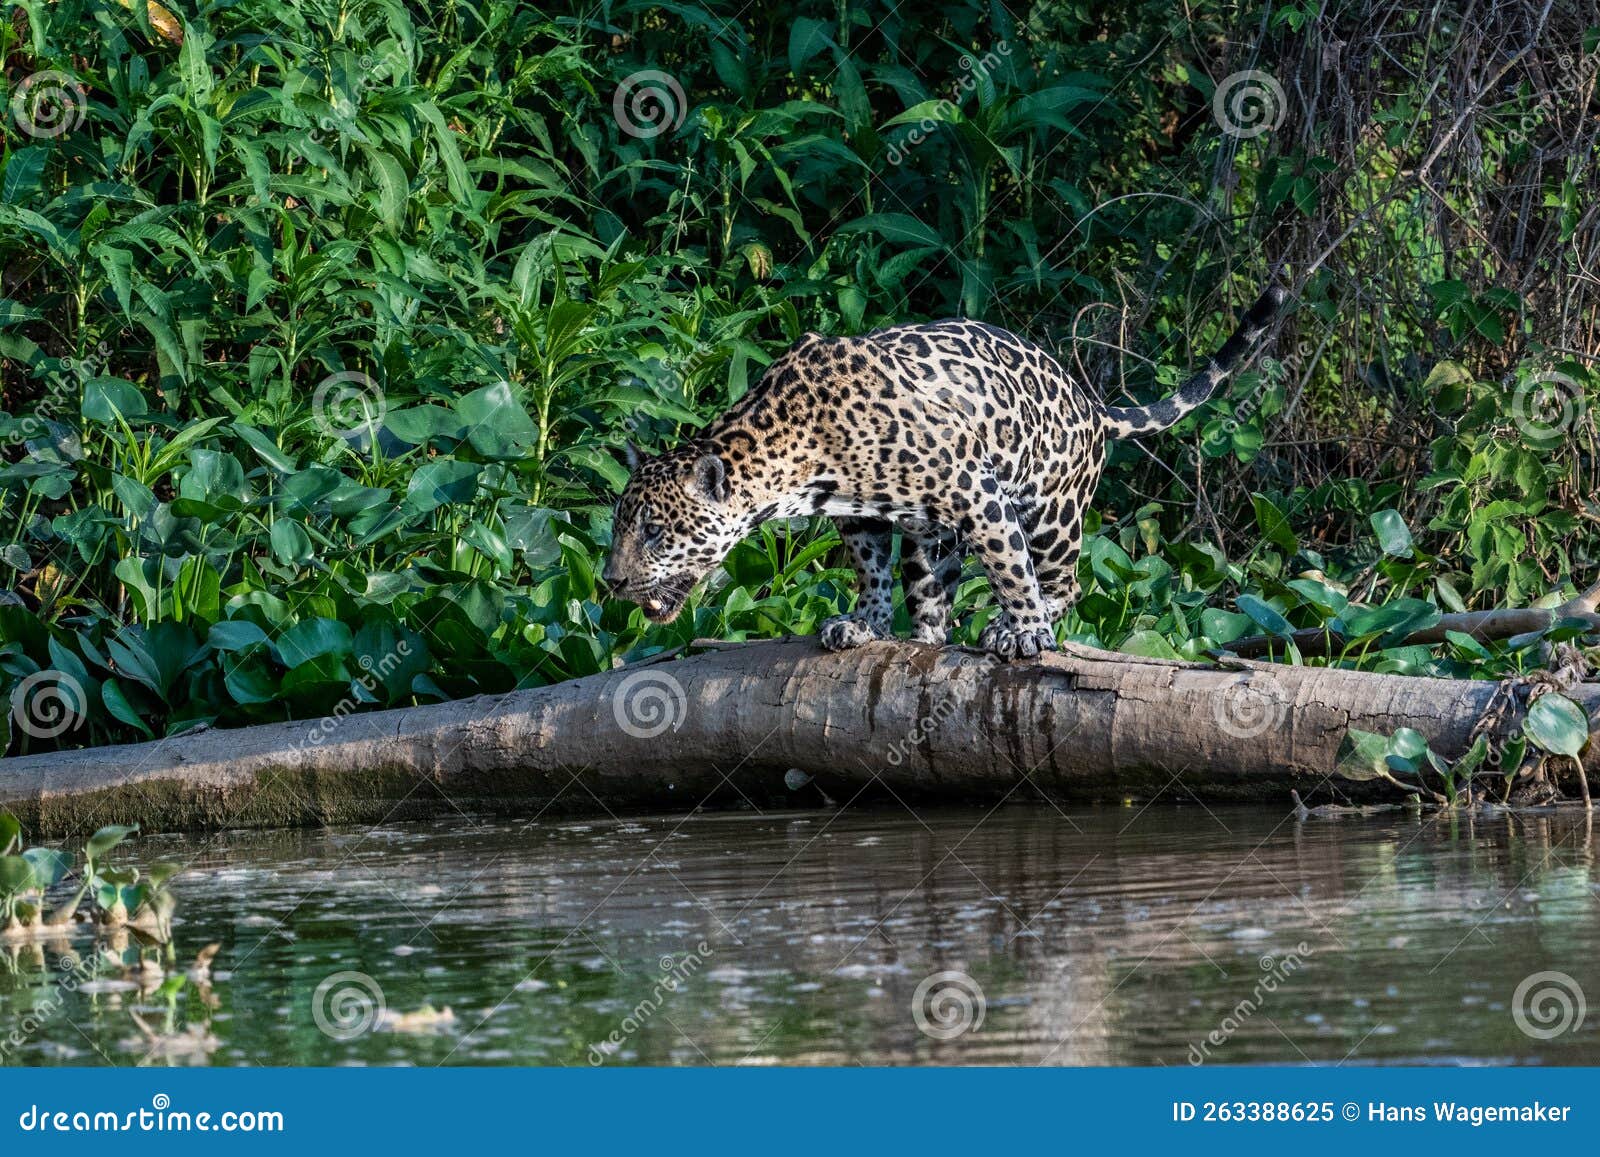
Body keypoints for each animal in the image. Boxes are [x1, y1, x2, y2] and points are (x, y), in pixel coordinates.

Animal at [602, 285, 1286, 659]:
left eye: (655, 534)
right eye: (618, 529)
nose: (610, 581)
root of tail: (1090, 405)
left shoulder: (977, 493)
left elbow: (1009, 568)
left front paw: (1024, 631)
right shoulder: (860, 517)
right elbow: (871, 572)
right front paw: (864, 625)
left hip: (1053, 512)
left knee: (1064, 580)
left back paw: (1019, 624)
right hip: (930, 539)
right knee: (933, 598)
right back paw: (926, 638)